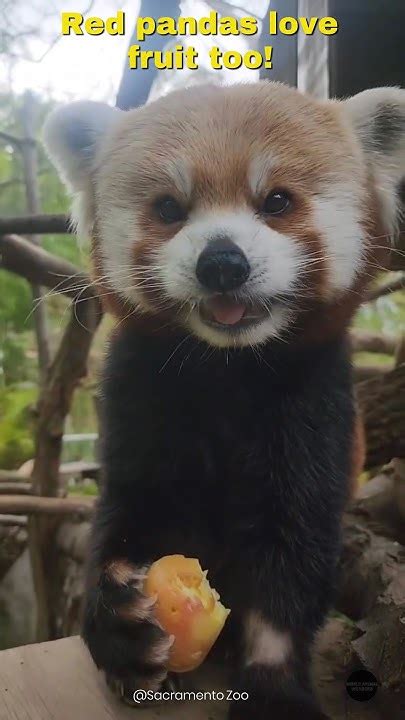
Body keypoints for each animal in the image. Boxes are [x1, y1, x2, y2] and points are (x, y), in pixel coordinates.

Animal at [44, 81, 405, 720]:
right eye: (169, 208)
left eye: (277, 201)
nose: (222, 262)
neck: (227, 366)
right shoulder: (140, 392)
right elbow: (129, 507)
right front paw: (118, 618)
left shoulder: (314, 405)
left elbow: (293, 546)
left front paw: (272, 682)